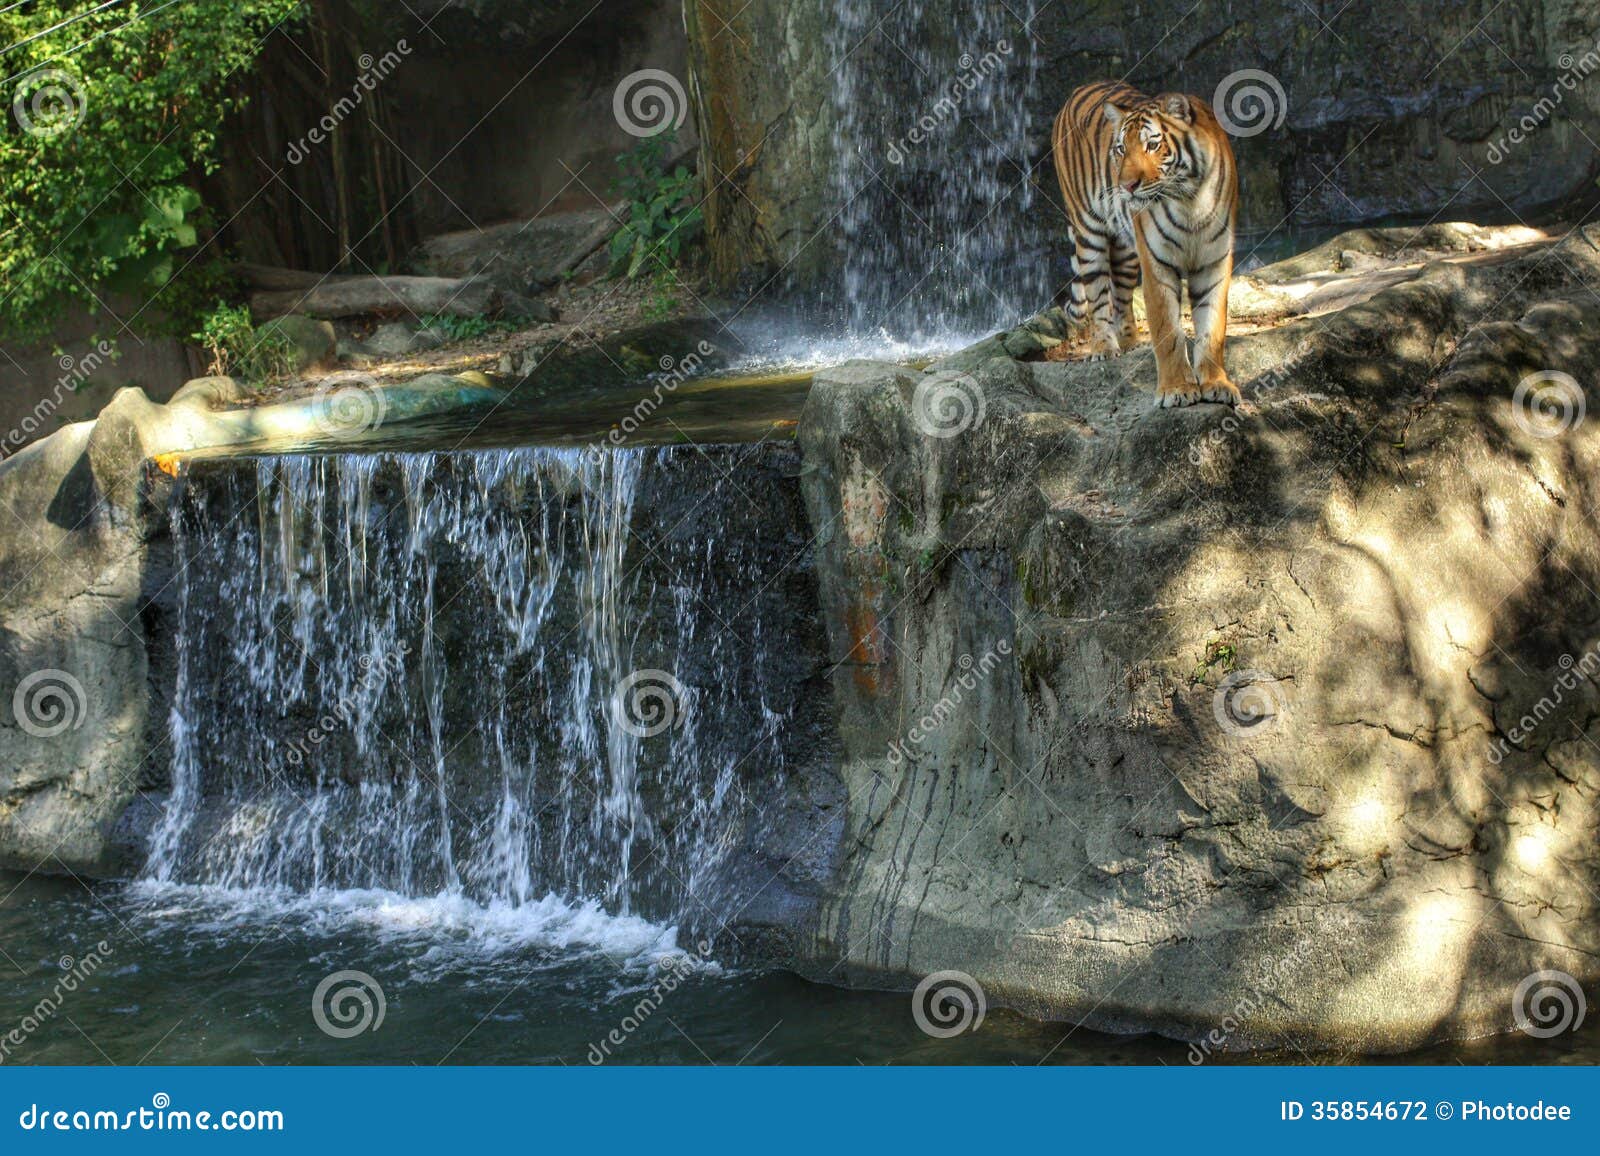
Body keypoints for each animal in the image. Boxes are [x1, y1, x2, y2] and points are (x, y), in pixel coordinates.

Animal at [1051, 80, 1240, 407]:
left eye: (1152, 145)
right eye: (1121, 149)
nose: (1126, 186)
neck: (1190, 201)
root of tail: (1077, 89)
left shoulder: (1214, 262)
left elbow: (1212, 329)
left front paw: (1217, 384)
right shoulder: (1157, 264)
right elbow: (1167, 331)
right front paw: (1177, 390)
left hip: (1126, 252)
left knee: (1120, 298)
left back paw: (1130, 343)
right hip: (1089, 232)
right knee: (1097, 295)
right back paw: (1104, 348)